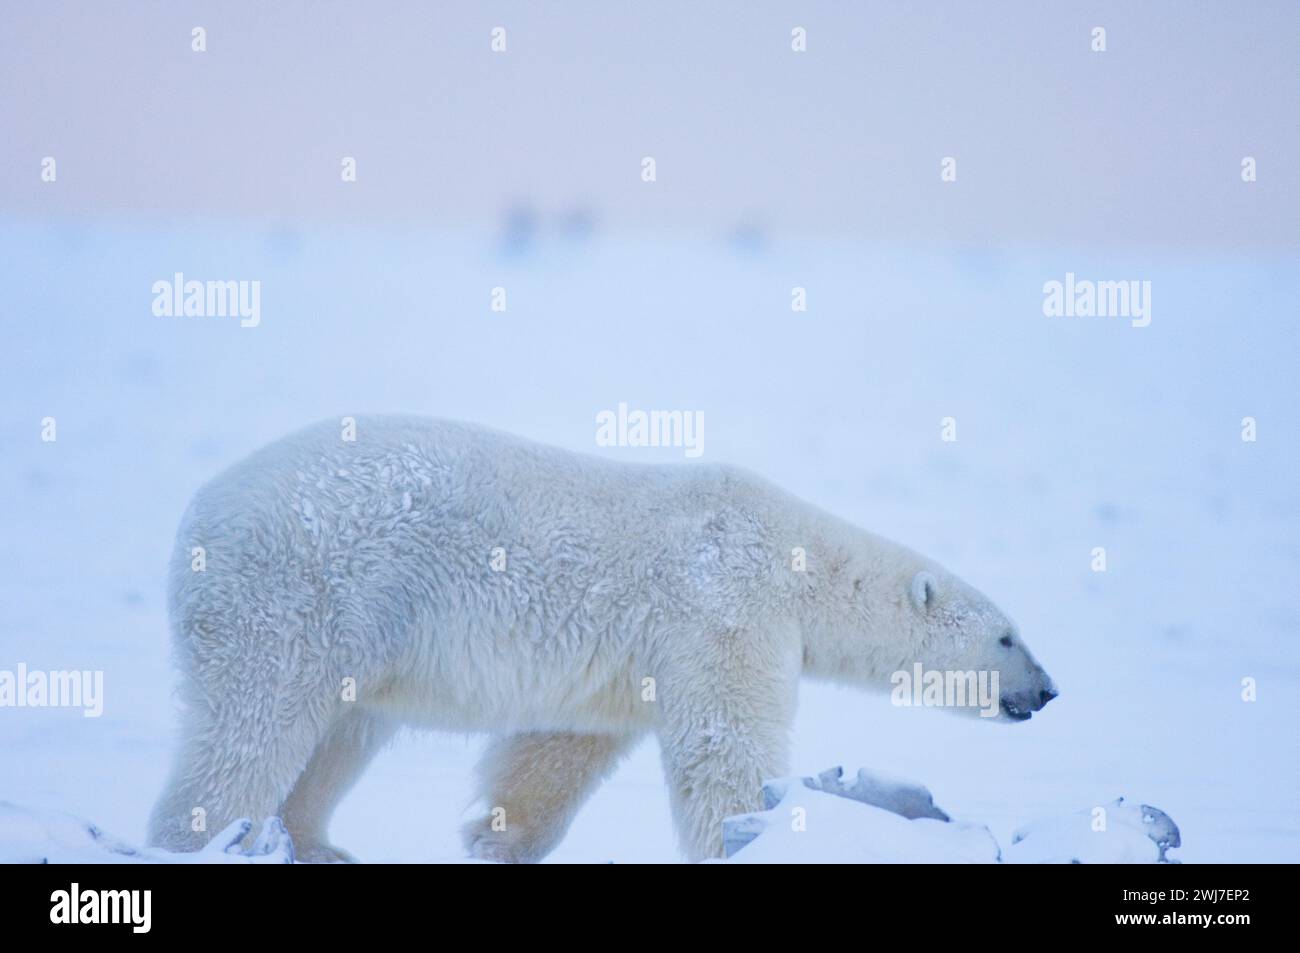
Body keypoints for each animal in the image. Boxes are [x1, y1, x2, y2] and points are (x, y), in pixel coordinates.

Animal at [146, 416, 1057, 863]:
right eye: (1009, 636)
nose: (1048, 690)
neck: (799, 558)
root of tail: (198, 513)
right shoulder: (723, 605)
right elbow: (725, 745)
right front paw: (756, 832)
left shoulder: (625, 665)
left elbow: (561, 748)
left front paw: (496, 836)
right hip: (294, 598)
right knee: (252, 730)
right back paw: (198, 840)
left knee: (339, 733)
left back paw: (318, 844)